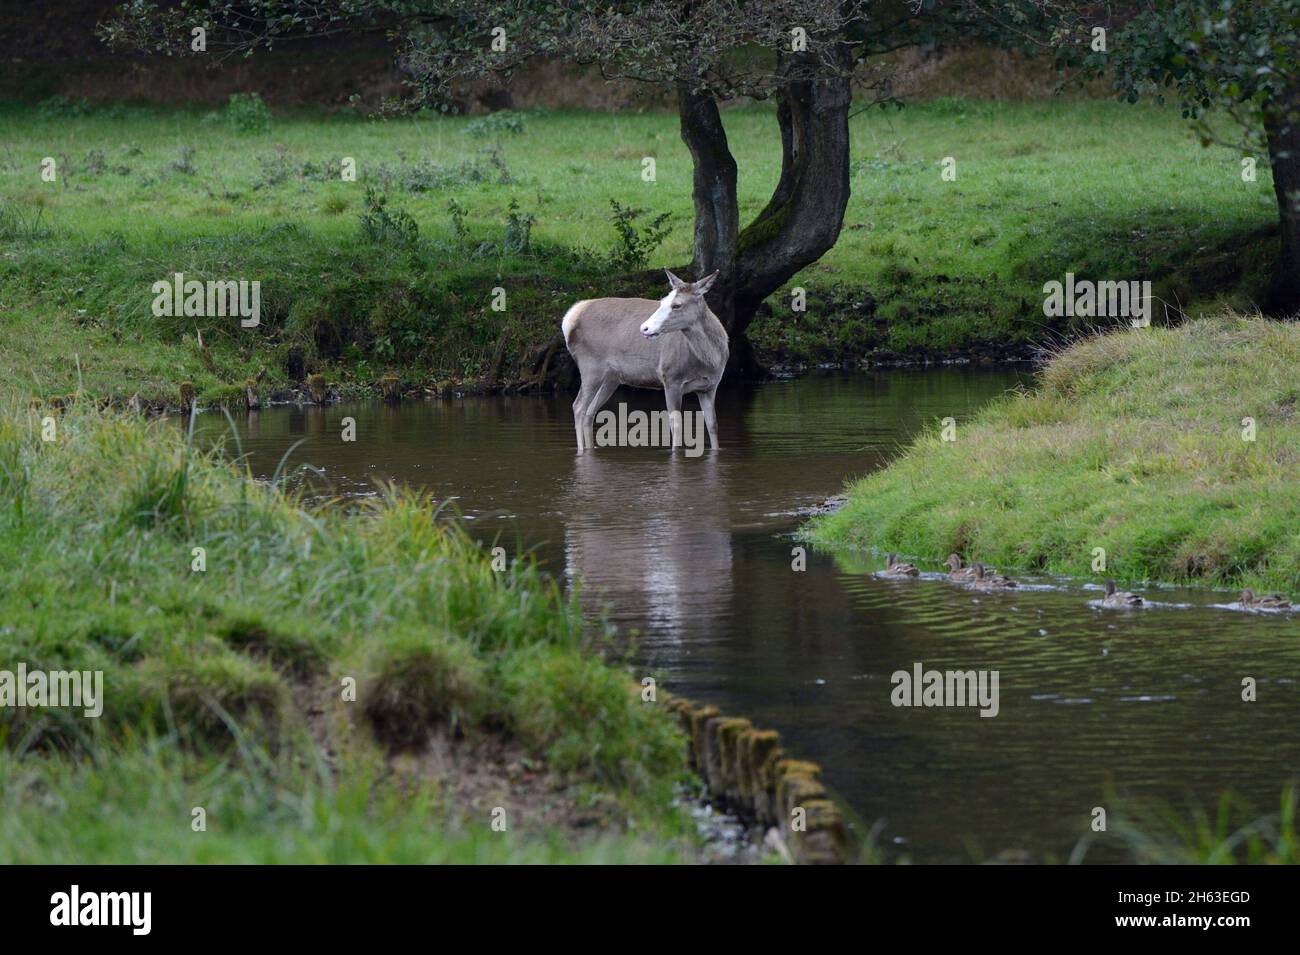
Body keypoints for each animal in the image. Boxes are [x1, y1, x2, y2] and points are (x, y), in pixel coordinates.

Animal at [561, 269, 728, 453]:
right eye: (661, 302)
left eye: (676, 305)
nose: (644, 328)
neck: (709, 361)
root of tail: (569, 318)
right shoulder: (671, 378)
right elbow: (676, 425)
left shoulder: (710, 386)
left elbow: (713, 425)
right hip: (590, 366)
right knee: (578, 407)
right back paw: (581, 450)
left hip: (610, 378)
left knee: (590, 412)